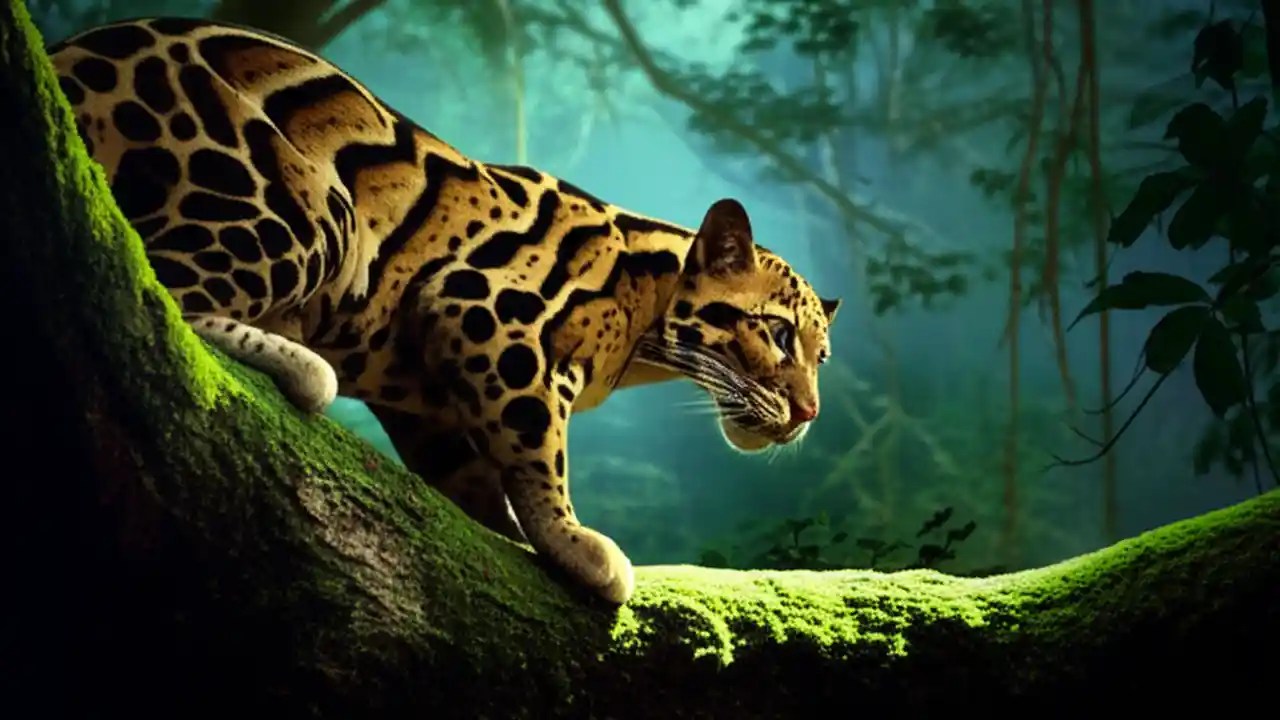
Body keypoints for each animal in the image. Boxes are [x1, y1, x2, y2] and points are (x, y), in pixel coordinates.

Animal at [48, 17, 842, 604]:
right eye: (777, 334)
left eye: (821, 356)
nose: (808, 413)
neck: (645, 314)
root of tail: (65, 55)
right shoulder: (487, 310)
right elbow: (539, 448)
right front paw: (574, 539)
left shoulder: (432, 396)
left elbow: (471, 471)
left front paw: (518, 531)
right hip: (302, 208)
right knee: (154, 279)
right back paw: (298, 360)